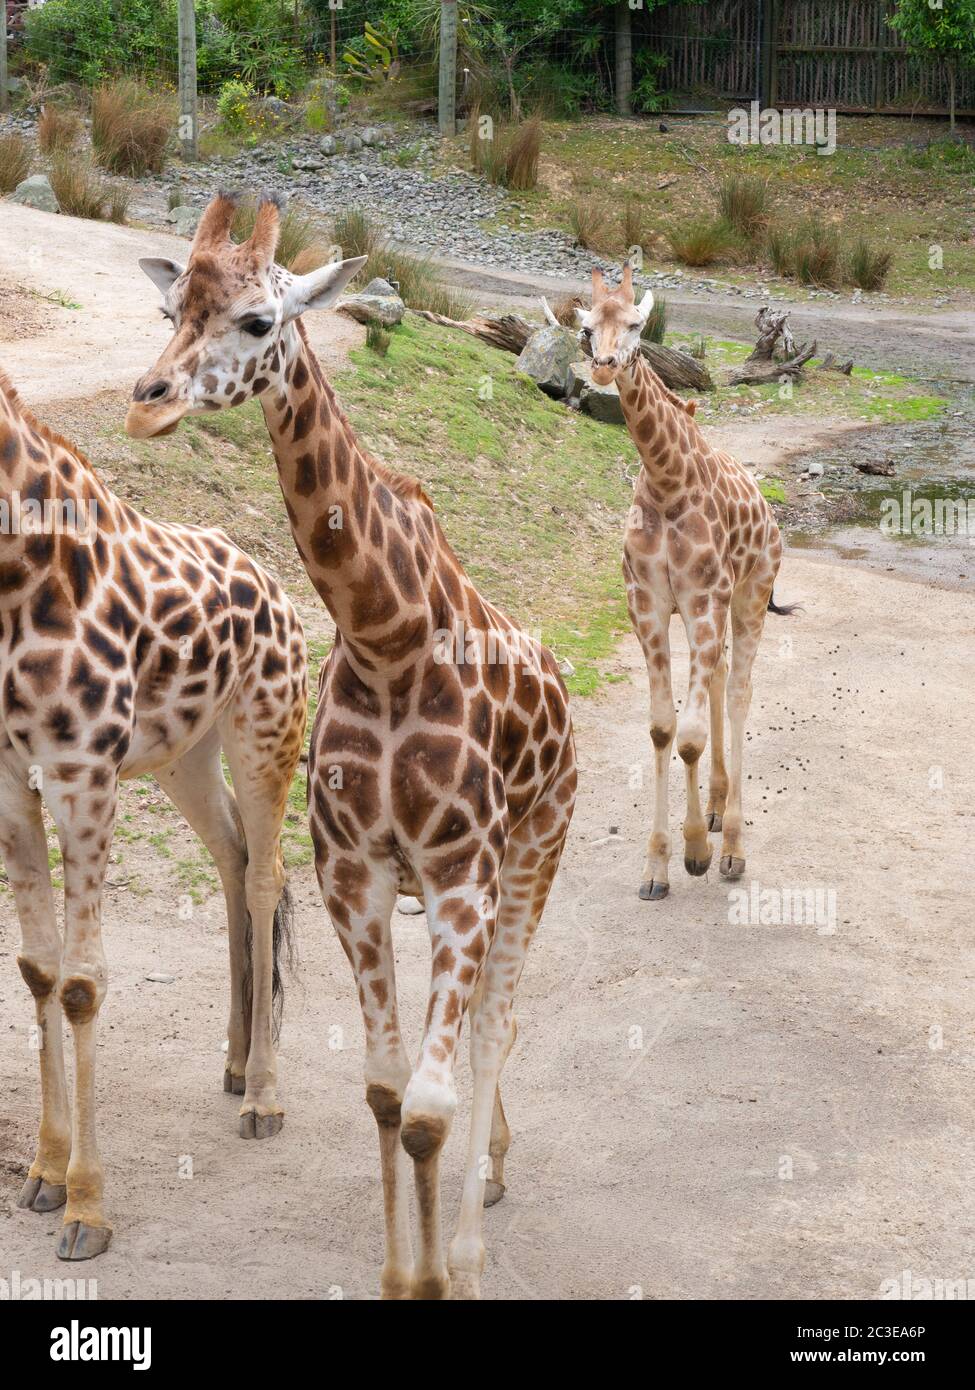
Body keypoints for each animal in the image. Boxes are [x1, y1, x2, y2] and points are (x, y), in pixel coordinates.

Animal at [0, 365, 307, 1262]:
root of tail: (279, 587)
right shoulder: (11, 779)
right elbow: (37, 969)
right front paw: (44, 1171)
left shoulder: (83, 774)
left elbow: (81, 984)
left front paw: (86, 1208)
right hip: (183, 754)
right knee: (233, 858)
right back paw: (236, 1062)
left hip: (265, 730)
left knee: (268, 872)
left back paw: (264, 1097)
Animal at [125, 192, 578, 1300]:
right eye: (170, 307)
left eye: (258, 321)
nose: (147, 403)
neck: (387, 635)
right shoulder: (356, 875)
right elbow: (385, 1093)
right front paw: (400, 1274)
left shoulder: (461, 873)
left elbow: (427, 1104)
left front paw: (444, 1274)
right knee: (464, 1033)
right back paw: (495, 1167)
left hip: (534, 855)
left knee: (495, 1025)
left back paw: (477, 1214)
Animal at [570, 265, 793, 901]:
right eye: (587, 326)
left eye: (637, 324)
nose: (604, 366)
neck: (668, 482)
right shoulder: (646, 606)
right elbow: (662, 730)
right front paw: (658, 866)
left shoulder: (703, 601)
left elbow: (690, 735)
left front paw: (697, 853)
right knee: (718, 679)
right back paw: (717, 810)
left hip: (748, 597)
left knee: (739, 692)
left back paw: (733, 844)